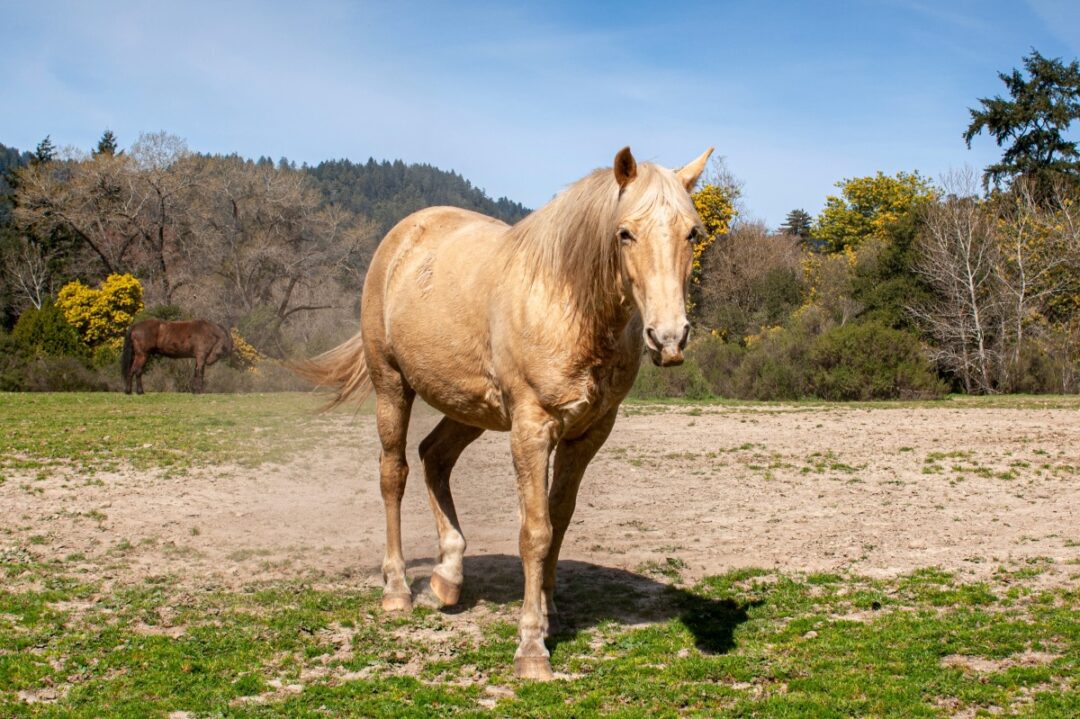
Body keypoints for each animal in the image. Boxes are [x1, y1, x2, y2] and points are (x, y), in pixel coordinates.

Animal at [296, 146, 712, 680]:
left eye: (692, 232)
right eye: (625, 233)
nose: (669, 338)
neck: (567, 303)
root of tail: (403, 236)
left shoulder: (587, 434)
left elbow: (559, 520)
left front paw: (550, 612)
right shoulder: (531, 429)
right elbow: (534, 532)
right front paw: (531, 645)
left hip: (468, 408)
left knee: (434, 458)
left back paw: (448, 575)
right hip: (391, 386)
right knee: (394, 474)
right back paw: (397, 589)